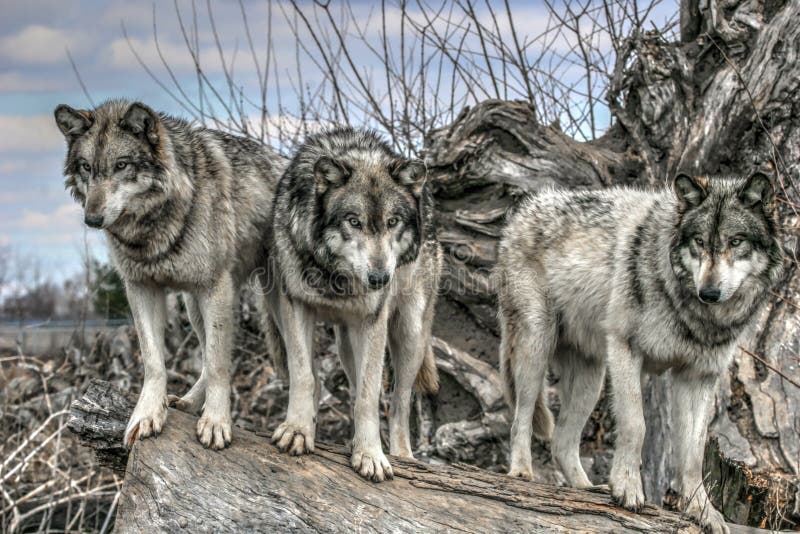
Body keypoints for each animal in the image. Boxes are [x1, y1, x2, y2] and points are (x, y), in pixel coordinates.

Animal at [54, 99, 287, 450]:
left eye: (121, 165)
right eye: (86, 167)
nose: (92, 219)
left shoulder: (213, 288)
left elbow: (218, 364)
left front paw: (216, 422)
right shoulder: (140, 288)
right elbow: (154, 361)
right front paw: (148, 414)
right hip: (194, 306)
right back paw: (188, 403)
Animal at [260, 128, 441, 482]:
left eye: (393, 221)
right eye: (353, 222)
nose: (379, 278)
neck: (335, 277)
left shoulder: (372, 321)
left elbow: (370, 397)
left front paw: (370, 454)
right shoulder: (296, 307)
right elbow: (304, 375)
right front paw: (298, 430)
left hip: (409, 334)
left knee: (398, 404)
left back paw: (402, 455)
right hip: (339, 341)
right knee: (343, 385)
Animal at [497, 173, 783, 533]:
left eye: (736, 241)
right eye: (699, 241)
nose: (709, 292)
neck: (693, 313)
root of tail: (521, 212)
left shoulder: (698, 377)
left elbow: (692, 455)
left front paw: (703, 512)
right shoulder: (625, 350)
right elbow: (637, 426)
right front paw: (627, 489)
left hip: (592, 378)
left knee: (562, 440)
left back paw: (586, 488)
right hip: (536, 350)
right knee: (520, 418)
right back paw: (522, 472)